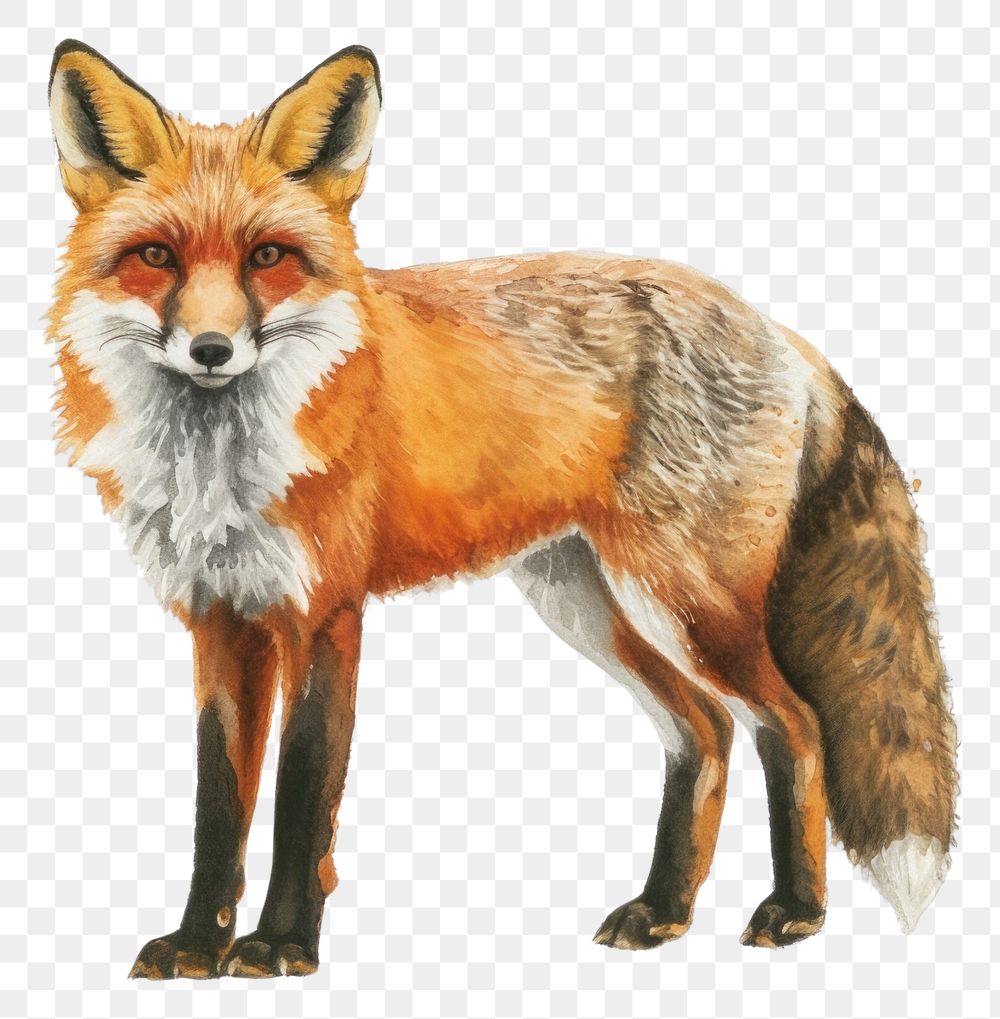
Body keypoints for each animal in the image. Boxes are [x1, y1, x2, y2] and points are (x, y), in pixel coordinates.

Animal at [46, 39, 958, 979]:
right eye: (157, 256)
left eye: (268, 257)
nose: (212, 349)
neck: (220, 463)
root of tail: (776, 328)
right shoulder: (220, 619)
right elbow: (217, 806)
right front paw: (199, 943)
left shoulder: (325, 611)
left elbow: (301, 795)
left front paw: (280, 943)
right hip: (589, 602)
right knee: (705, 731)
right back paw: (664, 910)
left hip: (684, 601)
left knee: (797, 725)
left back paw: (795, 910)